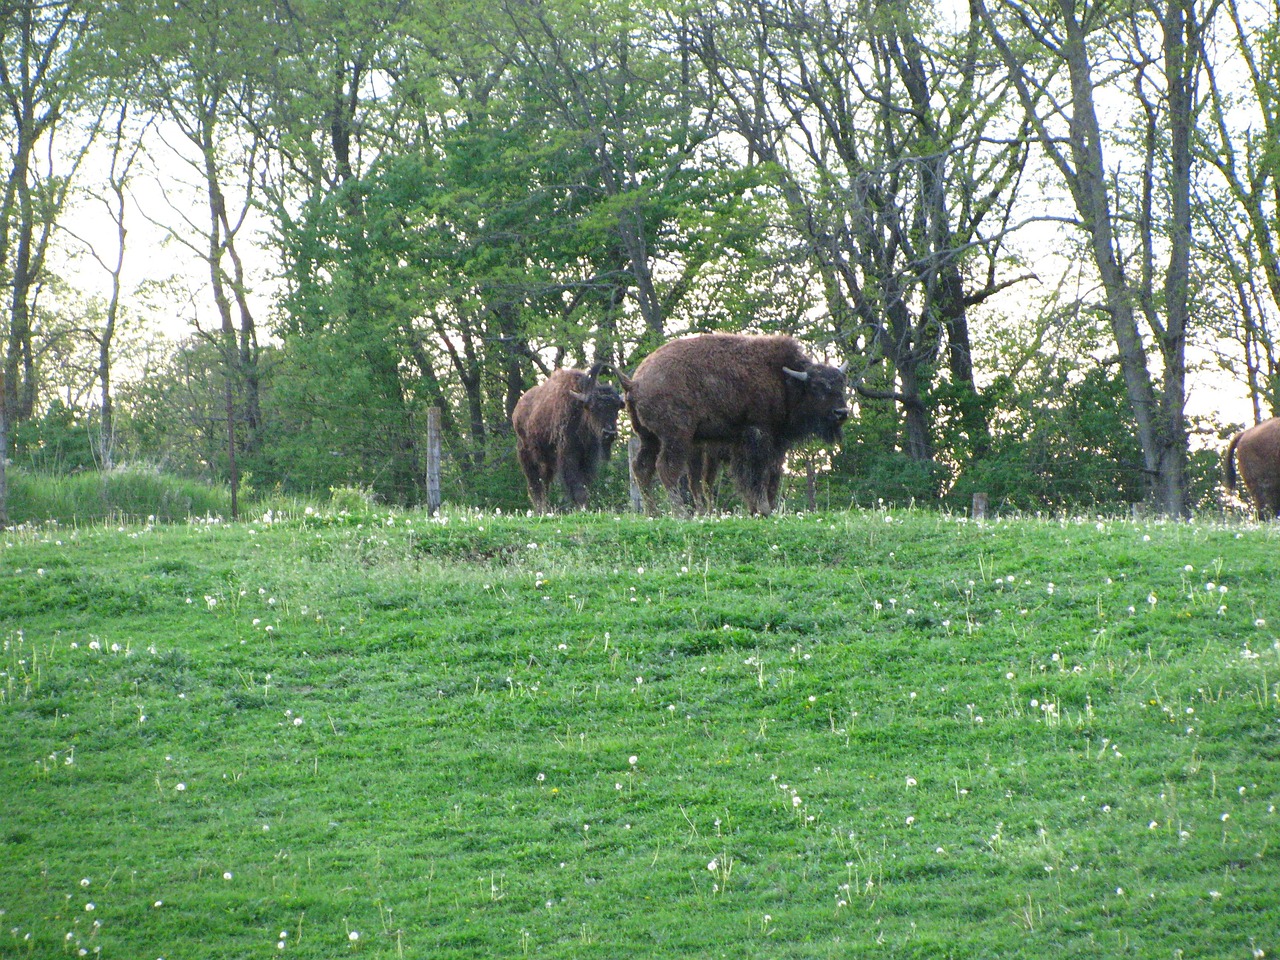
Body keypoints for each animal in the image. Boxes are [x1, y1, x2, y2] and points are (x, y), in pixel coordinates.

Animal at [512, 363, 625, 513]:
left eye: (616, 408)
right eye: (593, 407)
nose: (609, 433)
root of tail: (517, 410)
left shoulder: (589, 458)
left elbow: (584, 484)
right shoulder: (568, 455)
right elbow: (575, 484)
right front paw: (581, 508)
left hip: (547, 462)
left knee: (544, 484)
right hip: (526, 455)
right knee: (534, 485)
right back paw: (540, 509)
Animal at [621, 334, 848, 515]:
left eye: (841, 384)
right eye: (817, 387)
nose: (842, 413)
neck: (782, 378)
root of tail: (635, 382)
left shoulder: (769, 444)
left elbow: (769, 475)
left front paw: (760, 509)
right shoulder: (758, 435)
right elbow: (757, 473)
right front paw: (764, 509)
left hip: (649, 438)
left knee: (642, 469)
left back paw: (653, 513)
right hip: (676, 438)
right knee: (667, 469)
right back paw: (681, 514)